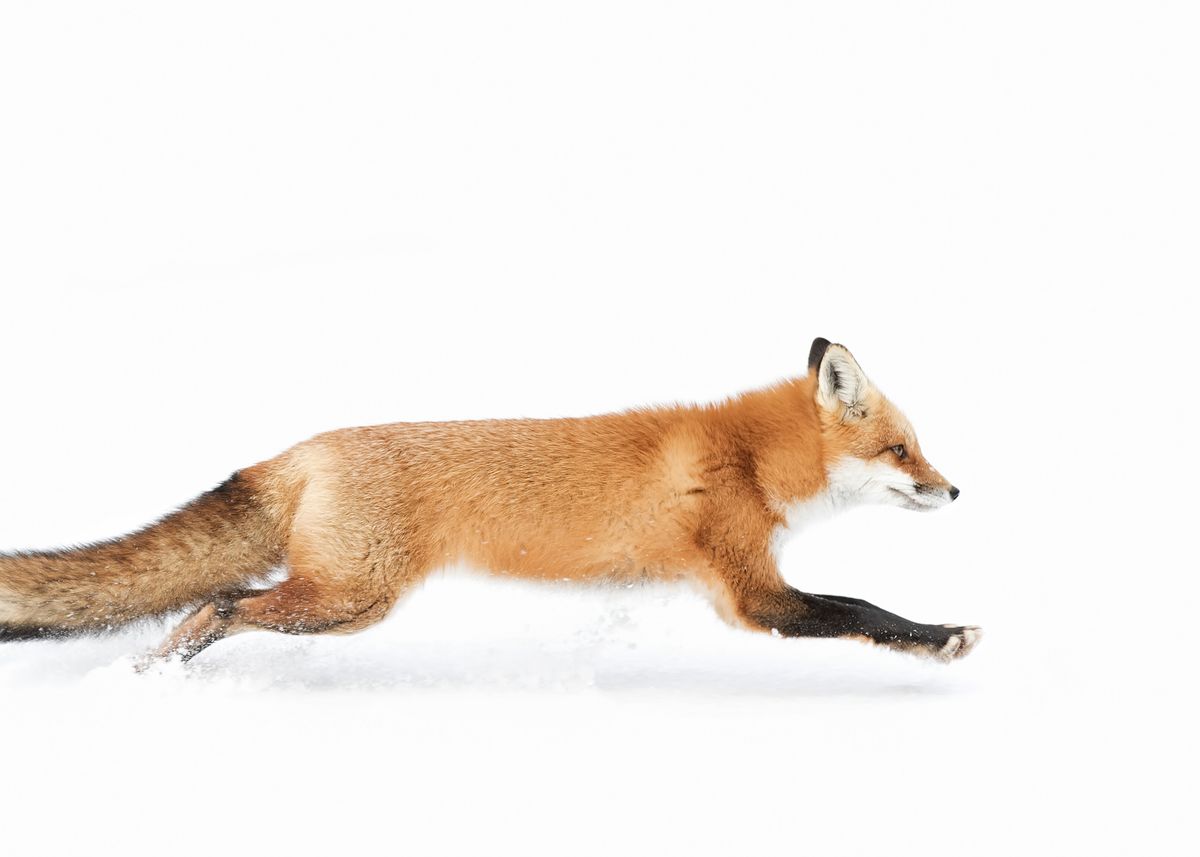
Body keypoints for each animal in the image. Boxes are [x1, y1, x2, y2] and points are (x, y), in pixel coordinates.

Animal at [0, 338, 979, 666]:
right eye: (902, 450)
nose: (955, 488)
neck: (744, 458)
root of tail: (300, 450)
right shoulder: (752, 594)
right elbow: (862, 607)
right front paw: (943, 638)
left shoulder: (746, 589)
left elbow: (857, 605)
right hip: (348, 600)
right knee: (217, 604)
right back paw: (153, 678)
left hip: (343, 601)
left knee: (214, 604)